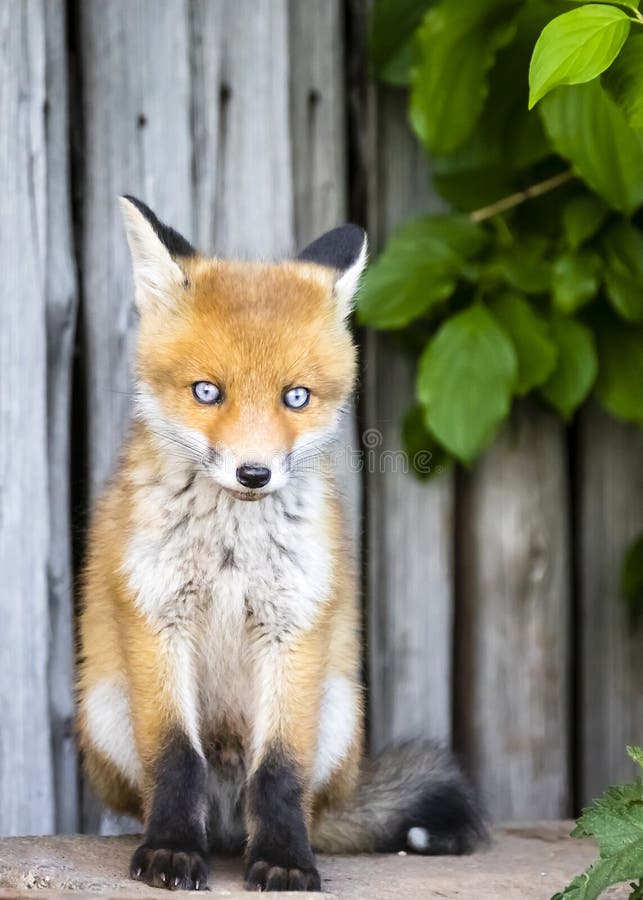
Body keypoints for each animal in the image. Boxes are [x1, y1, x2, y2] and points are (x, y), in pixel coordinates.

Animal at [76, 196, 487, 893]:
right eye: (206, 391)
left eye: (296, 397)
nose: (254, 474)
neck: (230, 555)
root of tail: (225, 827)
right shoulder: (157, 616)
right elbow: (175, 758)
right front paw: (170, 850)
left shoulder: (293, 626)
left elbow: (279, 771)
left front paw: (286, 861)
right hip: (105, 708)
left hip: (339, 711)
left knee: (294, 805)